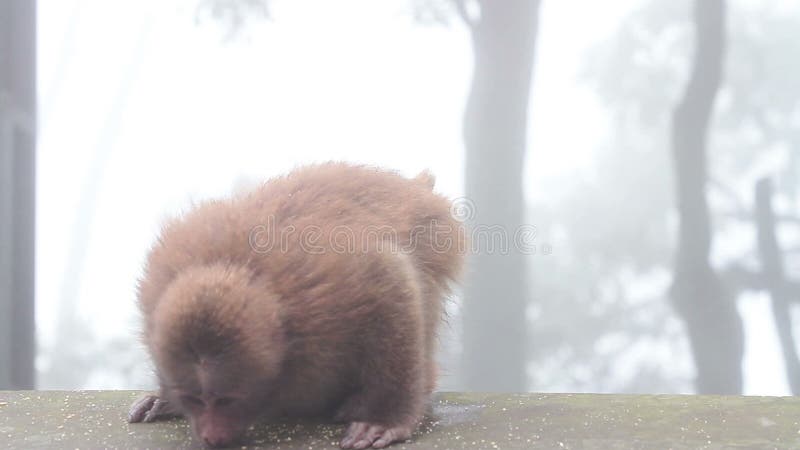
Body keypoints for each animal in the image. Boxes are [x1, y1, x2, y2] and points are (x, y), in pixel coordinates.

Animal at [128, 162, 465, 448]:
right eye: (194, 400)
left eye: (226, 400)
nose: (212, 436)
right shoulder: (154, 291)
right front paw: (166, 399)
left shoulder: (331, 296)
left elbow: (391, 278)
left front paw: (384, 418)